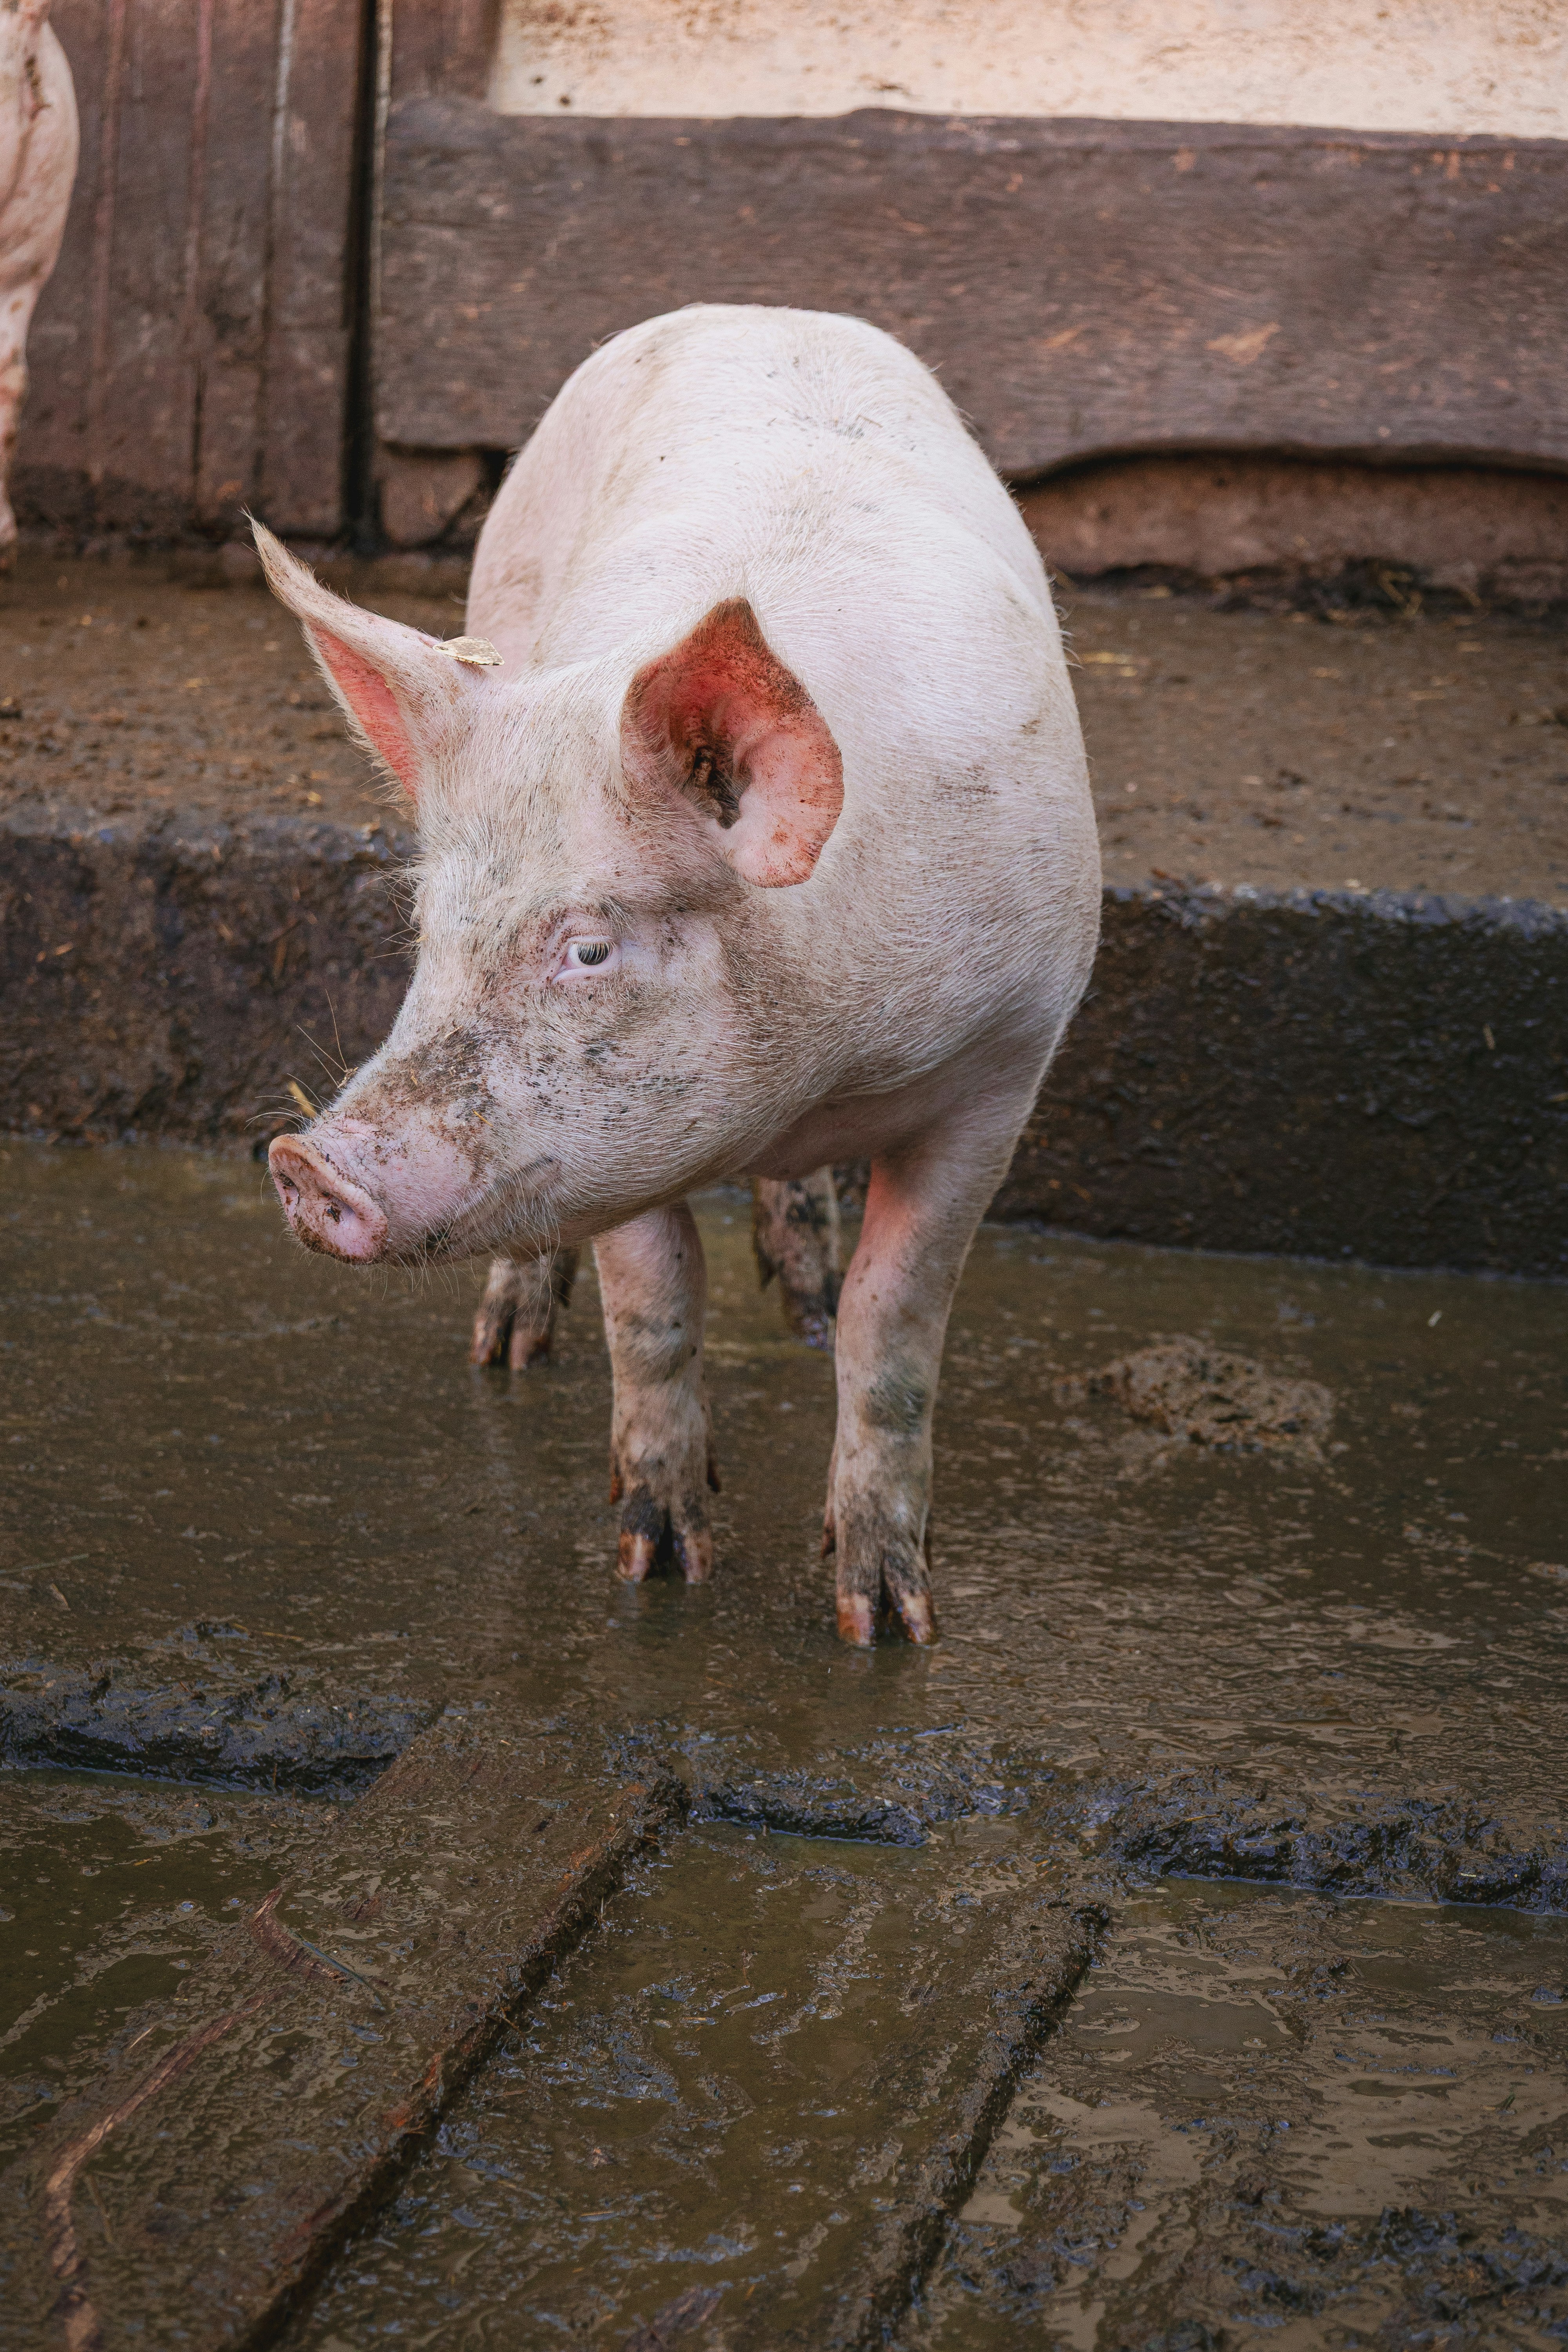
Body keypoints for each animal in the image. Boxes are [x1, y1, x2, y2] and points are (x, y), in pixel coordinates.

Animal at [260, 303, 1100, 1645]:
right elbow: (653, 1306)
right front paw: (655, 1568)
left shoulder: (1006, 1059)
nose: (304, 1163)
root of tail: (765, 308)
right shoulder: (616, 1144)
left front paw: (884, 1623)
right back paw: (508, 1350)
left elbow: (896, 1326)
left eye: (590, 947)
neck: (821, 1058)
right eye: (429, 926)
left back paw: (800, 1296)